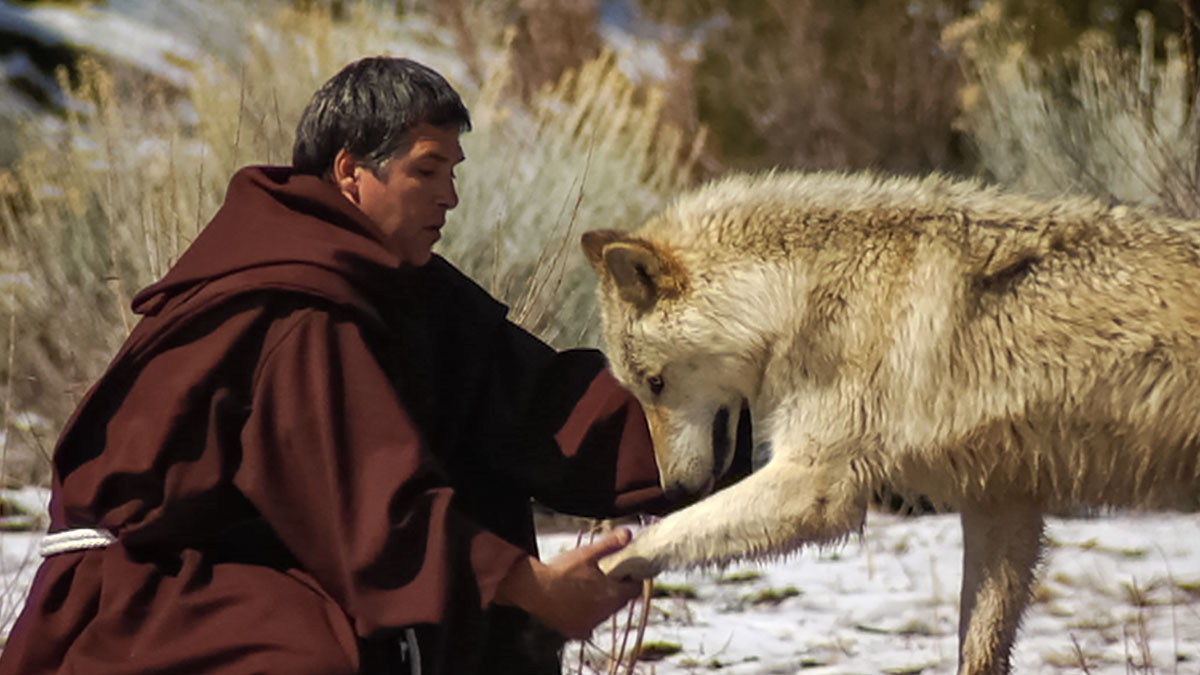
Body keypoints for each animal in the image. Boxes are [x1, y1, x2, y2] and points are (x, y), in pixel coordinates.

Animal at [581, 170, 1200, 674]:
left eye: (654, 384)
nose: (673, 489)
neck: (793, 300)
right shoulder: (1002, 502)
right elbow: (978, 651)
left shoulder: (815, 486)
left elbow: (646, 543)